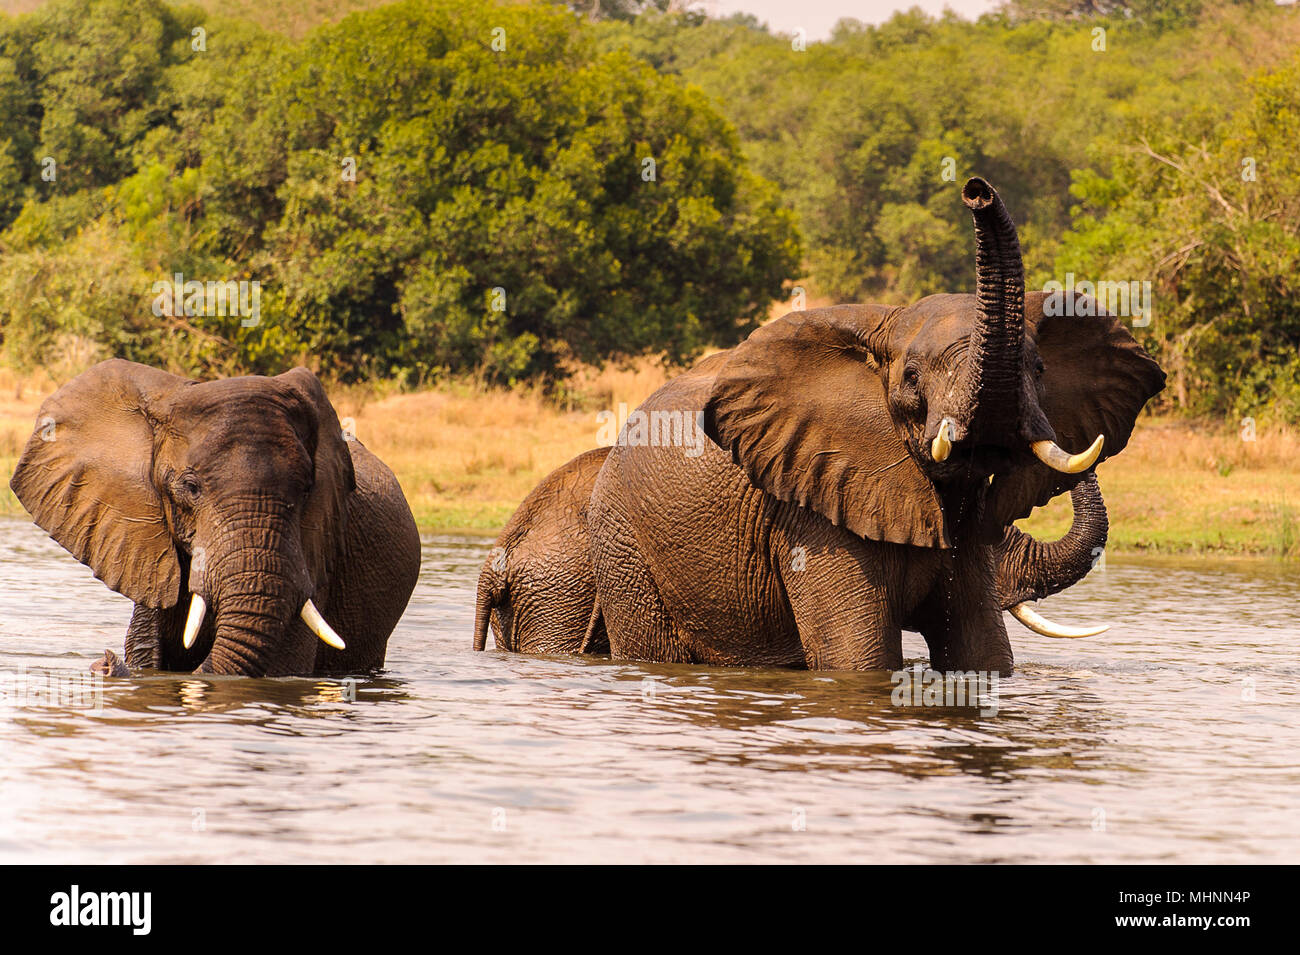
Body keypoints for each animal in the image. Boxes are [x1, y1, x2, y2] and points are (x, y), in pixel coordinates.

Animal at [585, 177, 1165, 675]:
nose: (976, 190)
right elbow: (857, 659)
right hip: (627, 550)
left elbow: (982, 651)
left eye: (1039, 370)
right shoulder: (812, 512)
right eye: (911, 378)